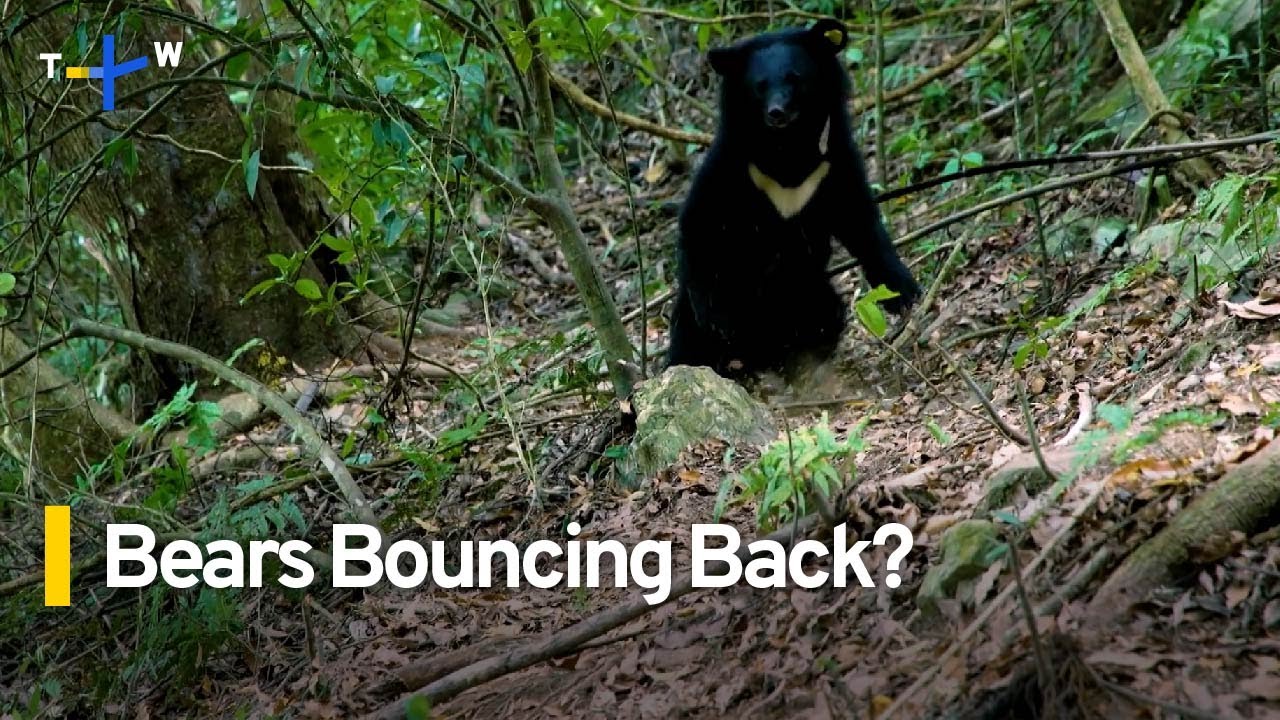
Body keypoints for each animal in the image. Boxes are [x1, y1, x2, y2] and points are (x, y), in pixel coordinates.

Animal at [666, 19, 921, 381]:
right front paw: (719, 321)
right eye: (759, 86)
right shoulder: (731, 170)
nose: (777, 112)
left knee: (825, 314)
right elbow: (702, 227)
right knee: (688, 339)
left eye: (795, 78)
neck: (787, 151)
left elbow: (861, 223)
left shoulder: (833, 164)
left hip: (805, 292)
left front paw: (904, 293)